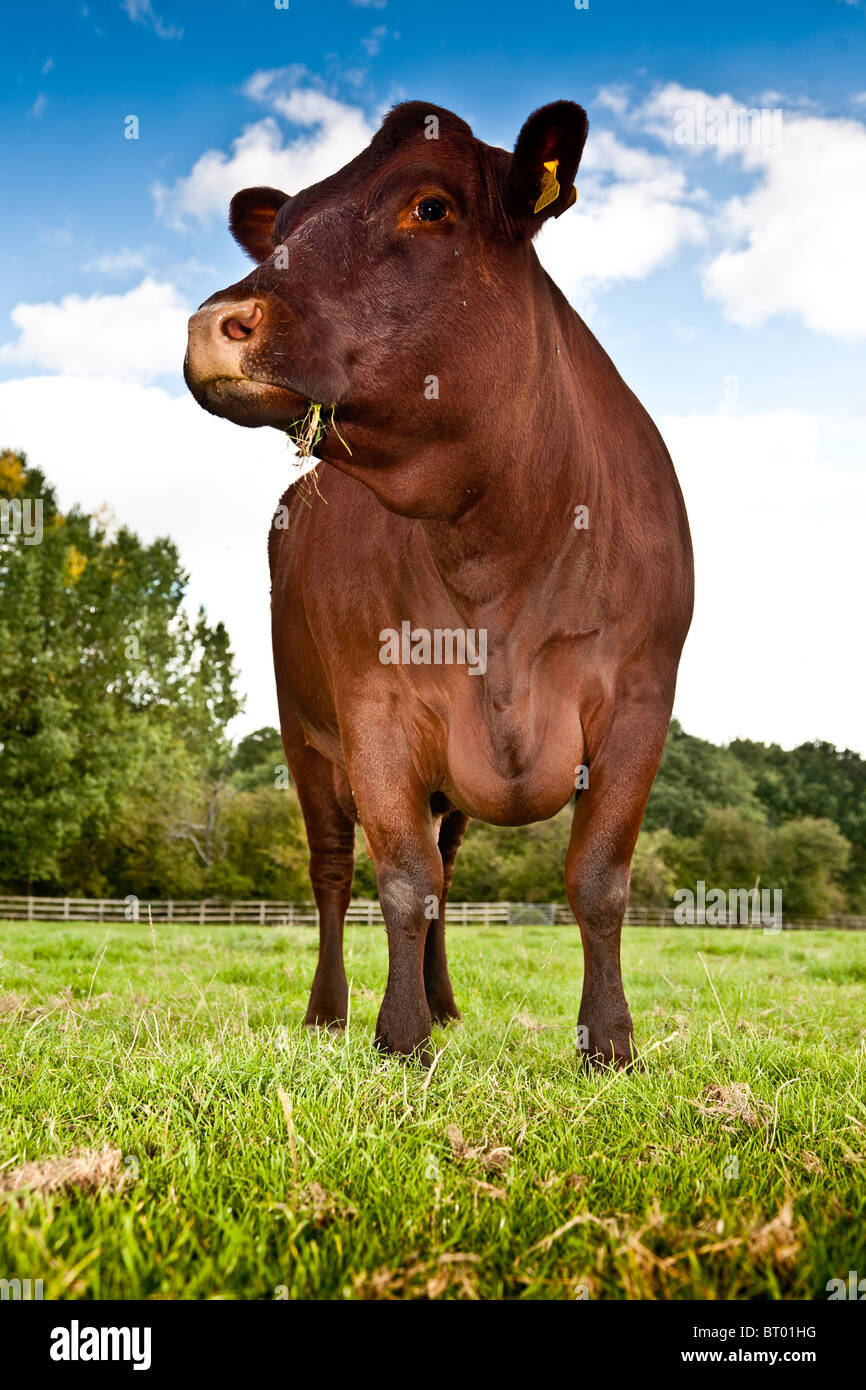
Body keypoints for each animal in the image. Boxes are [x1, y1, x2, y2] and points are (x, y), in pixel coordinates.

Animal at [184, 100, 694, 1068]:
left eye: (430, 208)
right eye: (288, 226)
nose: (216, 323)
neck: (500, 554)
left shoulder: (643, 697)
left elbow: (598, 878)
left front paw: (609, 1043)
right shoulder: (373, 705)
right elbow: (400, 879)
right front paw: (400, 1037)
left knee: (451, 872)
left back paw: (449, 1000)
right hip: (305, 737)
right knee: (334, 872)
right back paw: (330, 1011)